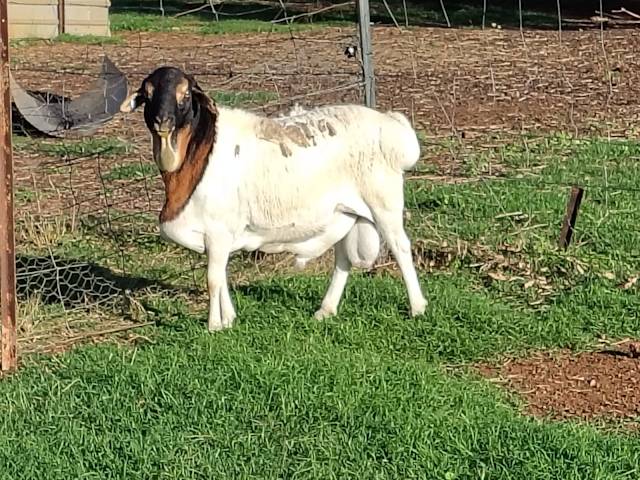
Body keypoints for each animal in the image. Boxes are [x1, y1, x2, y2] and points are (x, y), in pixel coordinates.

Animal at [120, 66, 427, 331]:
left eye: (185, 95)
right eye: (147, 94)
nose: (162, 121)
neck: (199, 150)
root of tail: (393, 126)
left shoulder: (219, 230)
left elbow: (213, 279)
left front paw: (214, 325)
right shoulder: (220, 235)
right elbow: (221, 274)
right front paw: (228, 319)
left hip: (384, 201)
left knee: (400, 247)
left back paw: (417, 307)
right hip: (344, 211)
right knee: (343, 258)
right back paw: (325, 309)